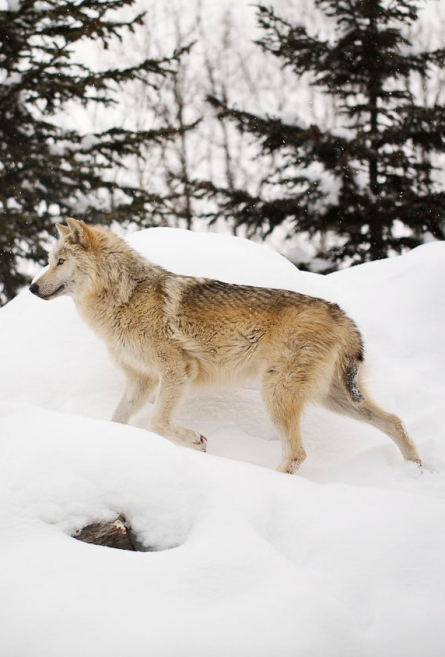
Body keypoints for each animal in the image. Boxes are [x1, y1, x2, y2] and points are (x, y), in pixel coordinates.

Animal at [29, 218, 421, 473]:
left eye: (59, 262)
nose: (31, 288)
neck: (124, 296)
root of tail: (341, 314)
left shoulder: (177, 371)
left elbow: (157, 422)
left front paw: (194, 441)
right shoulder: (141, 380)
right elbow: (119, 420)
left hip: (277, 394)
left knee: (298, 453)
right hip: (333, 398)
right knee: (395, 422)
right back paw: (416, 470)